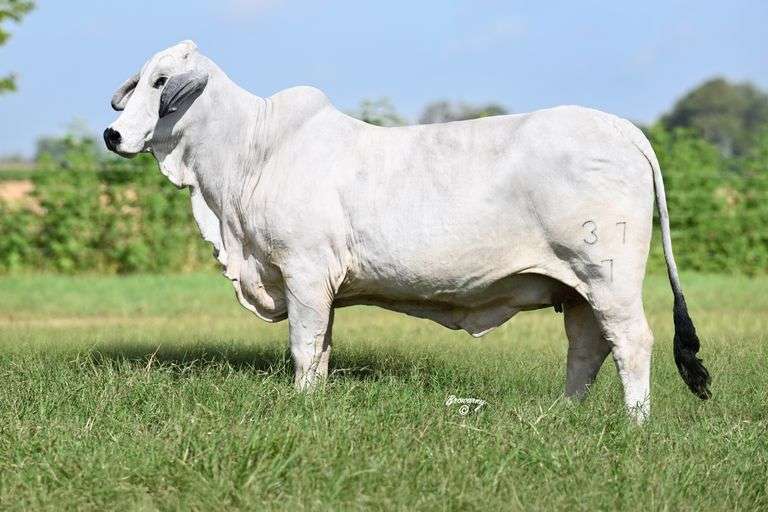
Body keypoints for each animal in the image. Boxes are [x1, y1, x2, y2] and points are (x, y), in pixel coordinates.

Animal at [105, 41, 710, 422]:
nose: (112, 134)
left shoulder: (304, 271)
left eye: (161, 83)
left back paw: (635, 425)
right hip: (579, 289)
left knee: (632, 342)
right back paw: (566, 415)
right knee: (587, 348)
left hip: (608, 276)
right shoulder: (321, 285)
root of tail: (622, 127)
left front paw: (301, 404)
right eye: (140, 81)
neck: (250, 153)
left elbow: (303, 348)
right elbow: (323, 350)